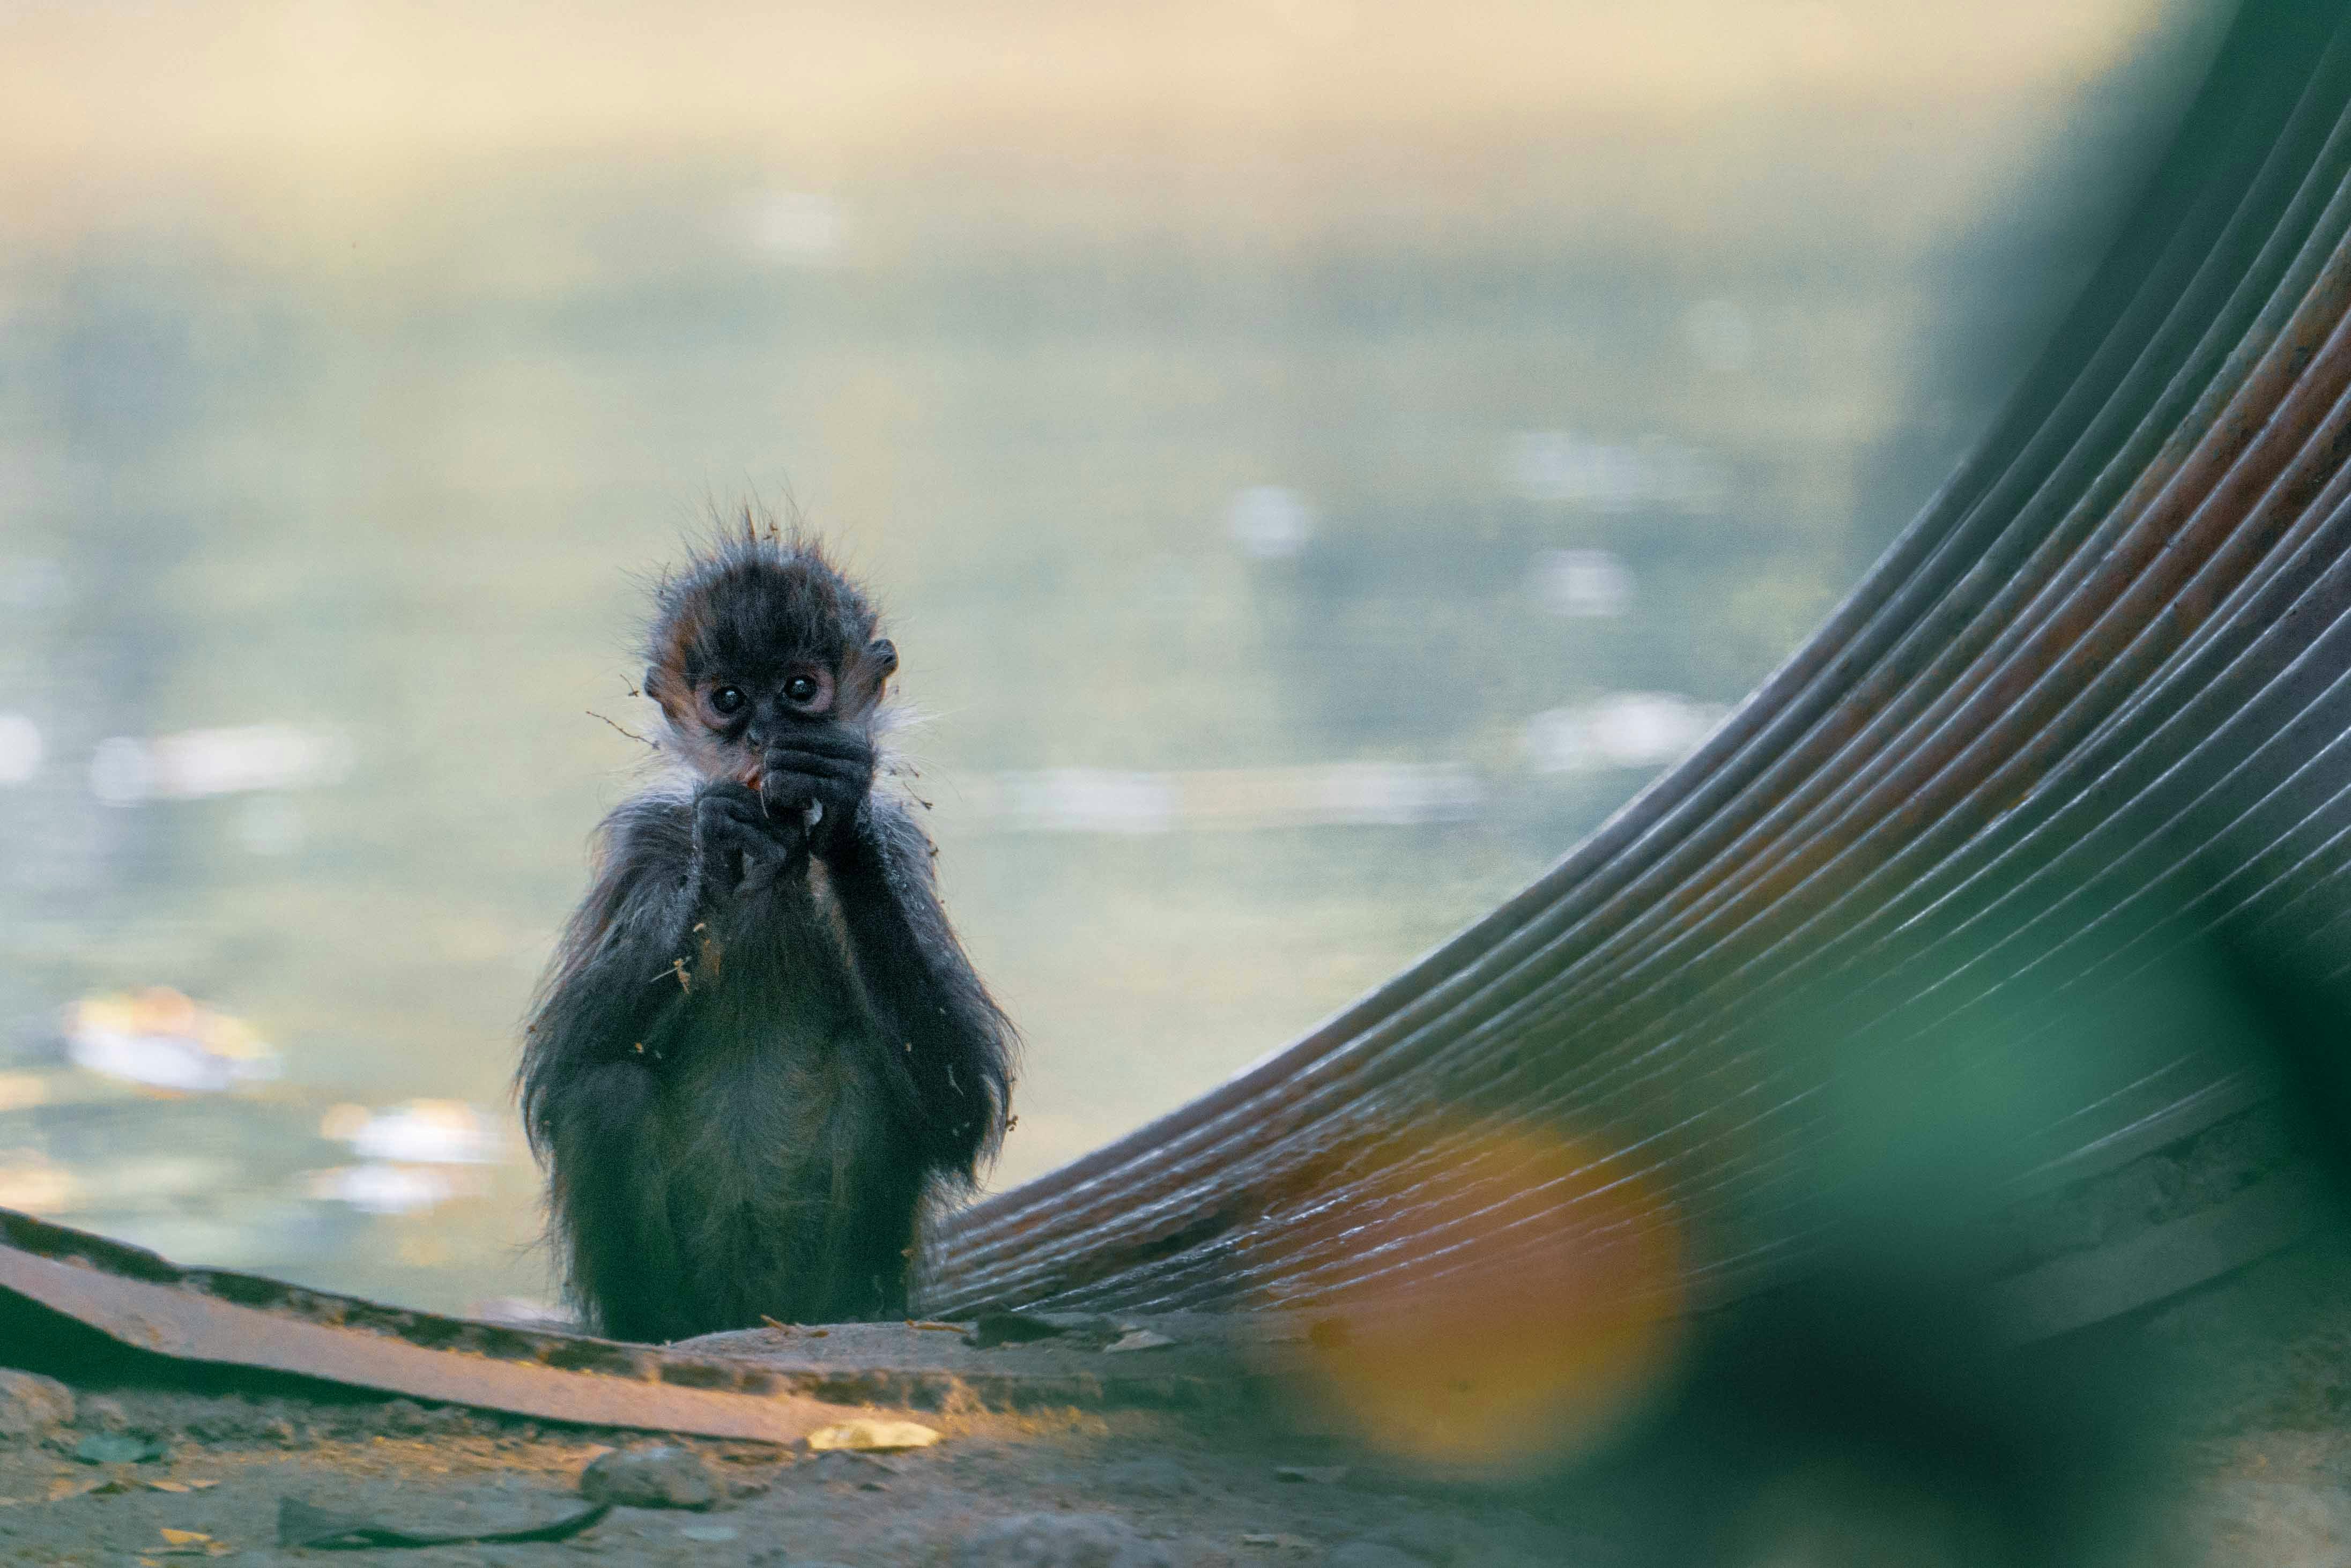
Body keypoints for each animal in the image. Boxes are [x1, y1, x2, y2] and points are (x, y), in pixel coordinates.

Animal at [517, 521, 1014, 1342]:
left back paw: (849, 1313)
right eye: (728, 700)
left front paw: (841, 820)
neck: (779, 869)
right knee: (605, 1087)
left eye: (799, 691)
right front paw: (719, 849)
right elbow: (556, 1073)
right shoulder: (647, 837)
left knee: (871, 1068)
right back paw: (654, 1328)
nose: (764, 735)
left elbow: (962, 1109)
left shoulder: (903, 842)